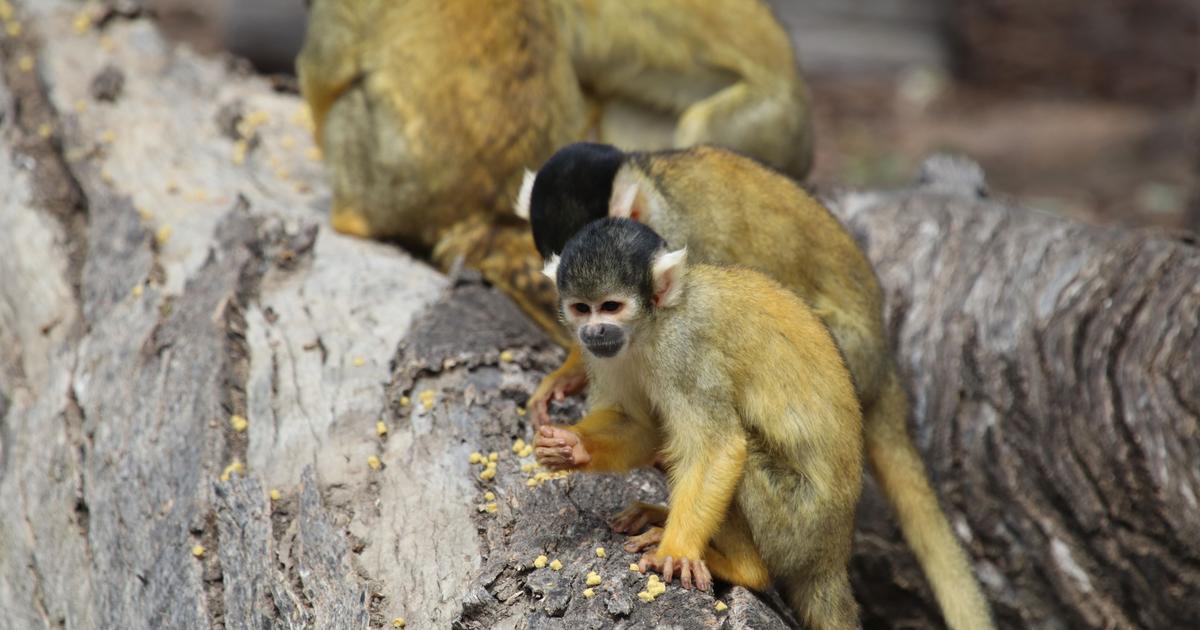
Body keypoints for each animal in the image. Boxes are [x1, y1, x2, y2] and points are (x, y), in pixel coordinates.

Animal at [535, 218, 864, 628]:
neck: (652, 324)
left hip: (797, 524)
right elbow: (639, 425)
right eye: (582, 308)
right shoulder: (609, 353)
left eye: (610, 306)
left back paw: (741, 567)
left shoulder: (684, 350)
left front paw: (675, 552)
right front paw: (570, 446)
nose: (594, 331)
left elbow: (716, 447)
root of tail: (833, 554)